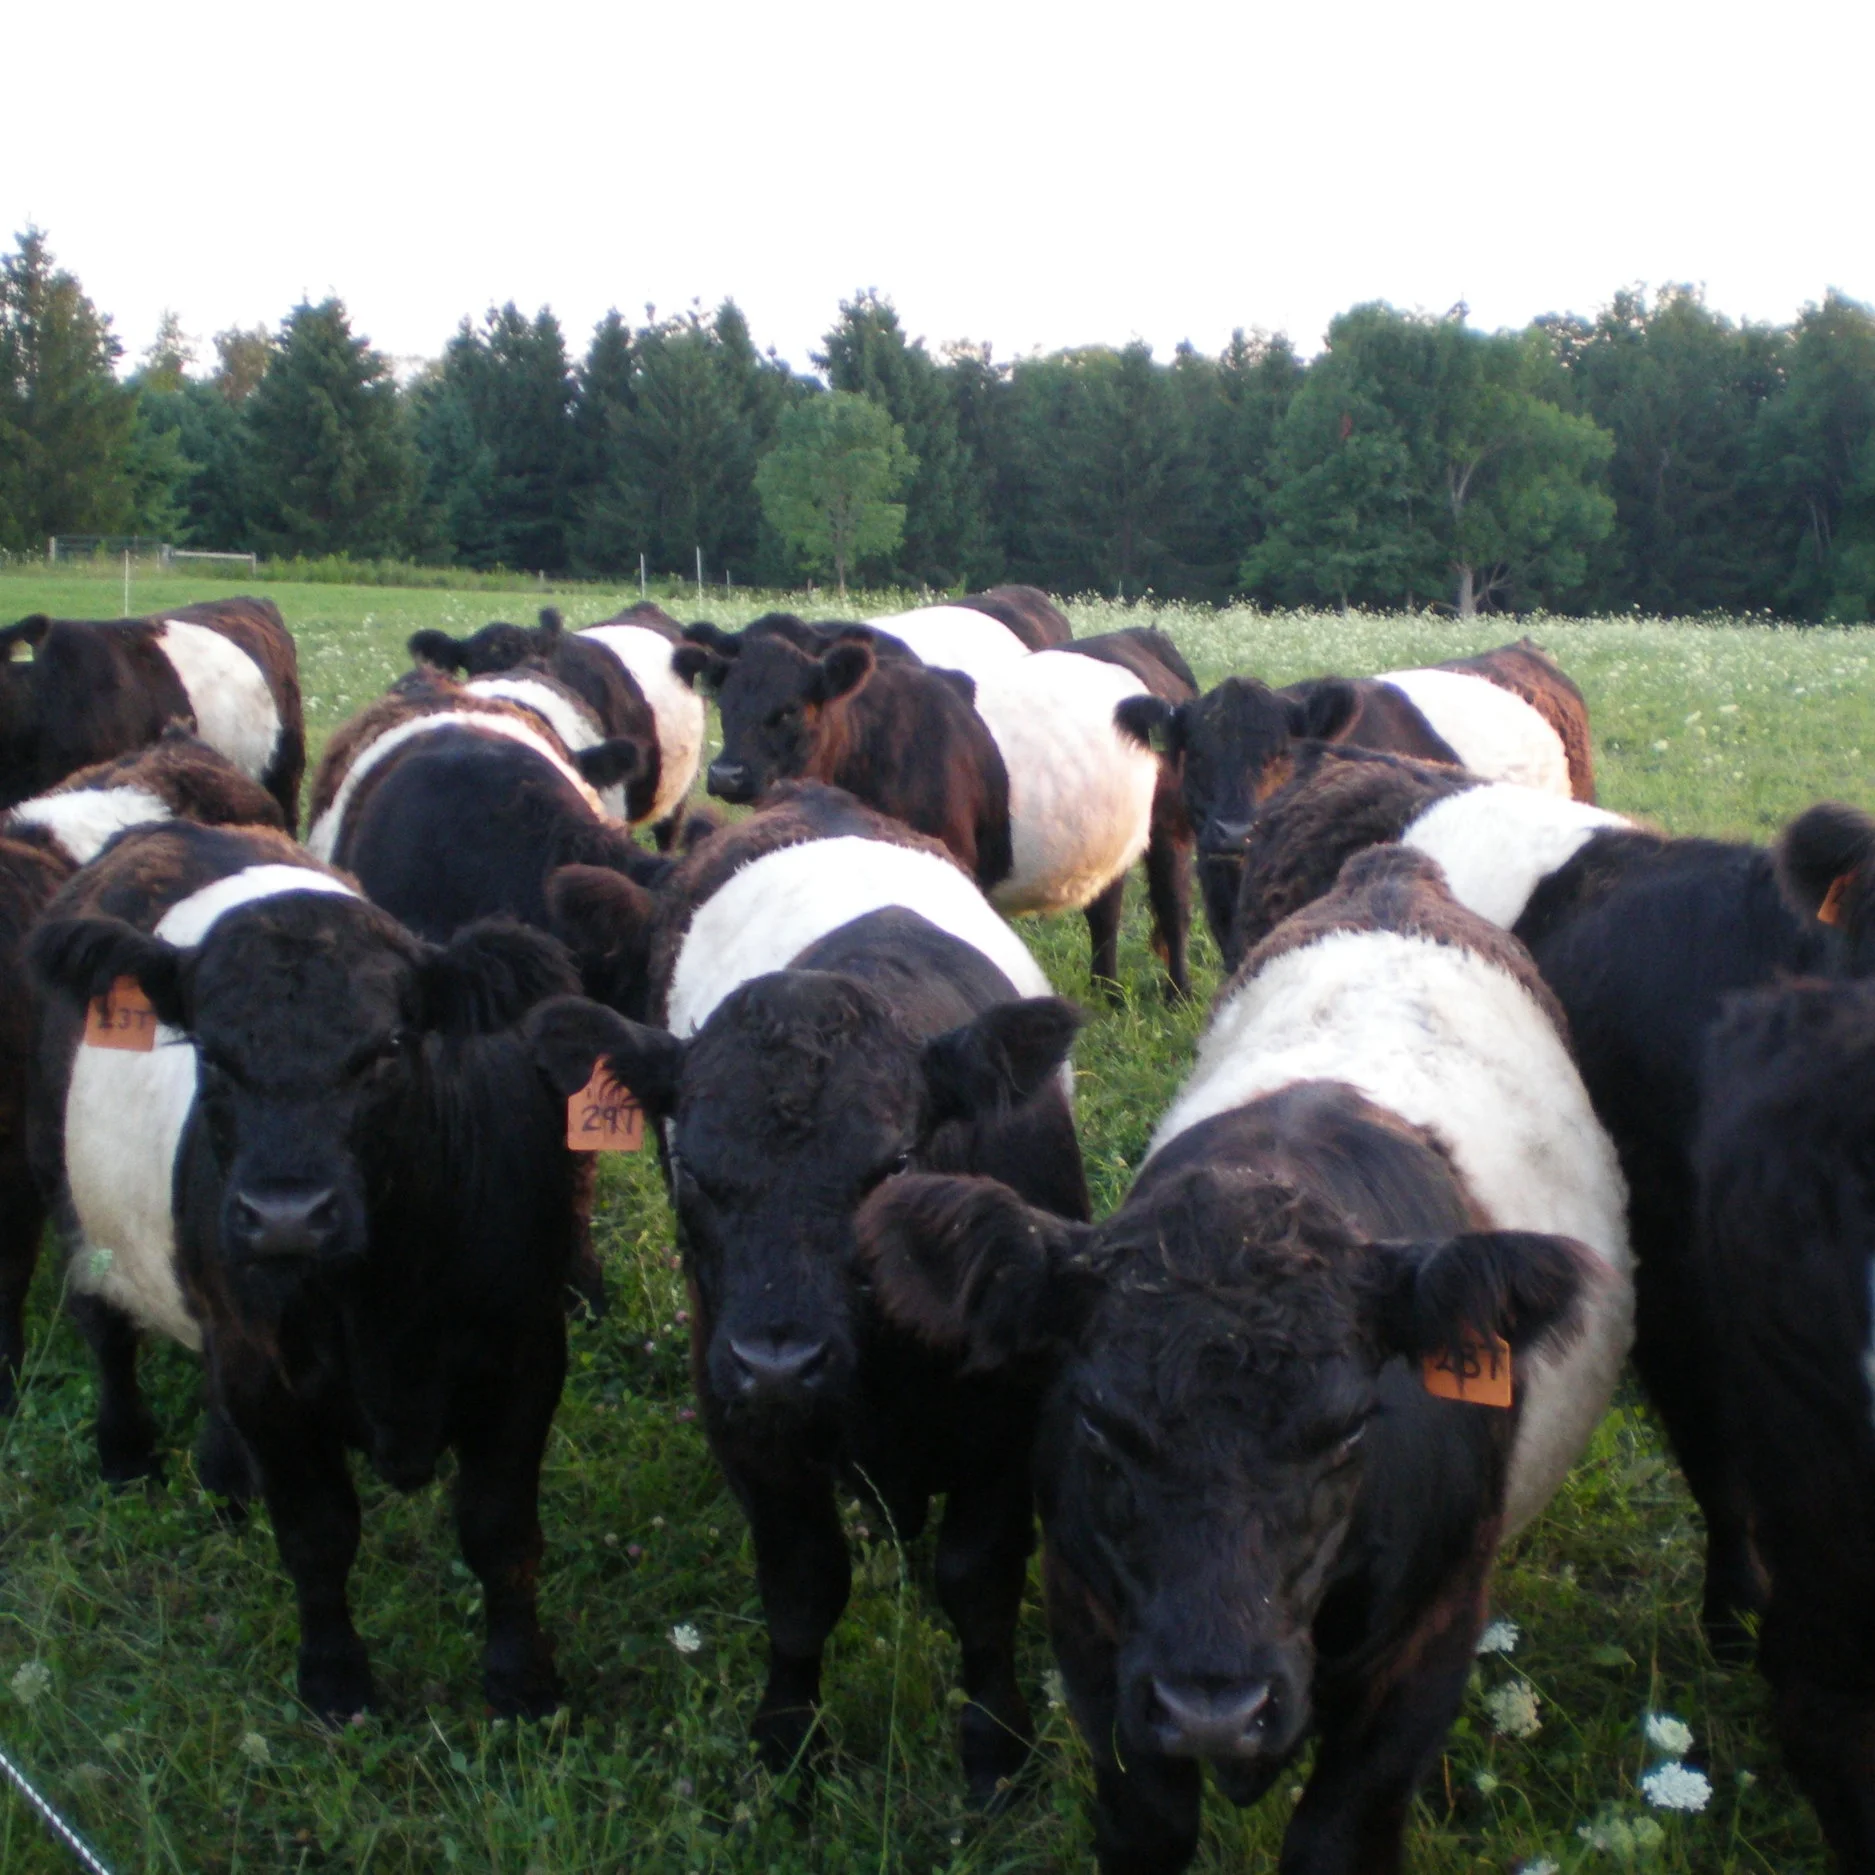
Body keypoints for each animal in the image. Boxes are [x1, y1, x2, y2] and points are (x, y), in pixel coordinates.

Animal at [25, 820, 609, 1720]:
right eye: (211, 1054)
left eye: (390, 1047)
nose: (286, 1213)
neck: (384, 1304)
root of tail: (160, 828)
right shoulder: (268, 1380)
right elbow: (317, 1534)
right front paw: (335, 1678)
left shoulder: (522, 1355)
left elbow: (500, 1529)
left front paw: (521, 1682)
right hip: (78, 1204)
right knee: (105, 1329)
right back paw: (126, 1454)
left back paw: (221, 1473)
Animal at [535, 784, 1090, 1801]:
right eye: (692, 1165)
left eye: (895, 1162)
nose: (780, 1359)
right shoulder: (738, 1407)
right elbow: (801, 1584)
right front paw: (787, 1745)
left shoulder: (1007, 1406)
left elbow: (978, 1582)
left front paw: (996, 1749)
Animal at [690, 632, 1174, 996]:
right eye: (724, 705)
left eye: (789, 709)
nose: (726, 774)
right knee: (1106, 909)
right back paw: (1107, 992)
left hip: (1173, 825)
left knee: (1173, 905)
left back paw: (1175, 996)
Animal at [856, 844, 1630, 1874]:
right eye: (1098, 1422)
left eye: (1349, 1430)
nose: (1212, 1709)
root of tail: (1393, 866)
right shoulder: (1091, 1621)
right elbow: (1143, 1822)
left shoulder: (1427, 1639)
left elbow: (1336, 1835)